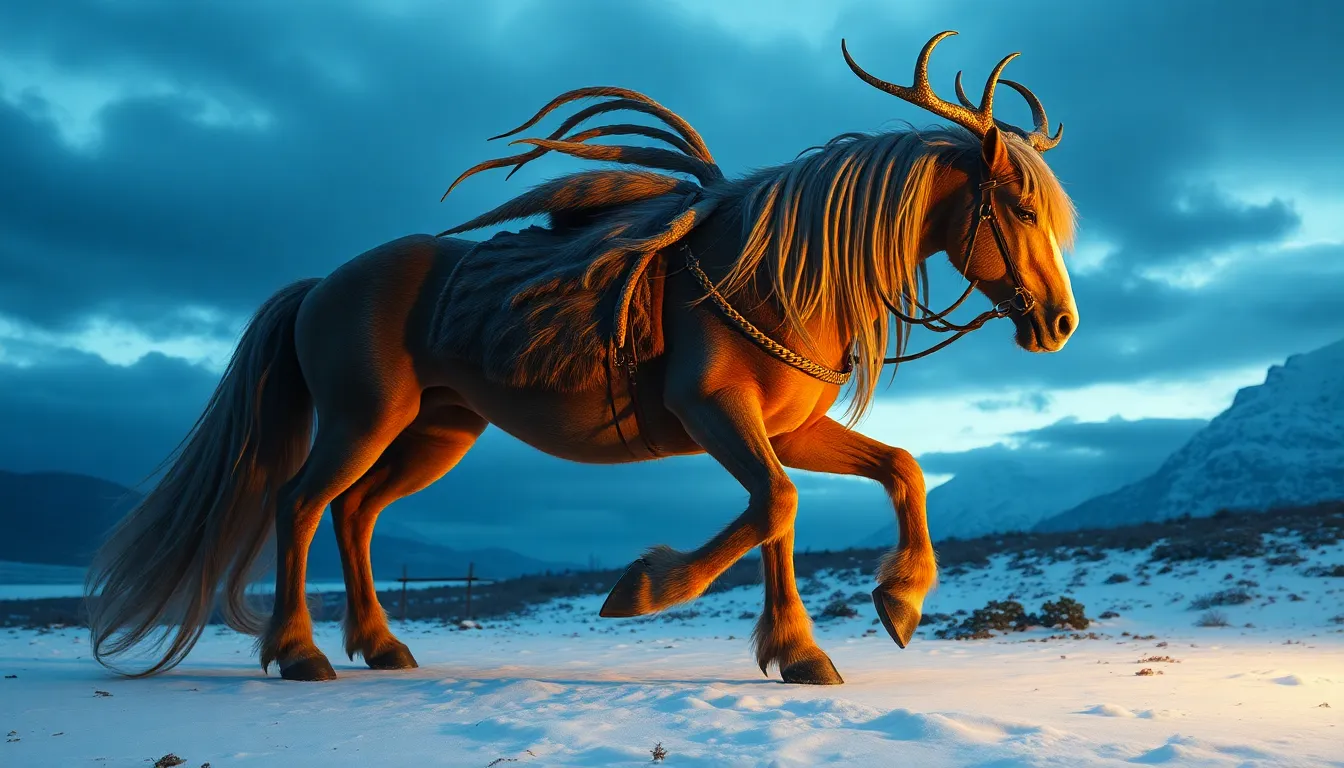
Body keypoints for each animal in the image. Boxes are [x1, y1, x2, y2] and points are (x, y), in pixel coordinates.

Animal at [86, 30, 1079, 686]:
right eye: (1021, 209)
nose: (1061, 324)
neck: (776, 274)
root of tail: (322, 284)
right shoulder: (715, 411)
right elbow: (777, 505)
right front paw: (645, 589)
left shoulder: (785, 428)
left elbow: (884, 474)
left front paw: (872, 614)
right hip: (364, 416)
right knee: (299, 503)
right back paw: (298, 653)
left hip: (438, 430)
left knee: (356, 513)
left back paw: (382, 645)